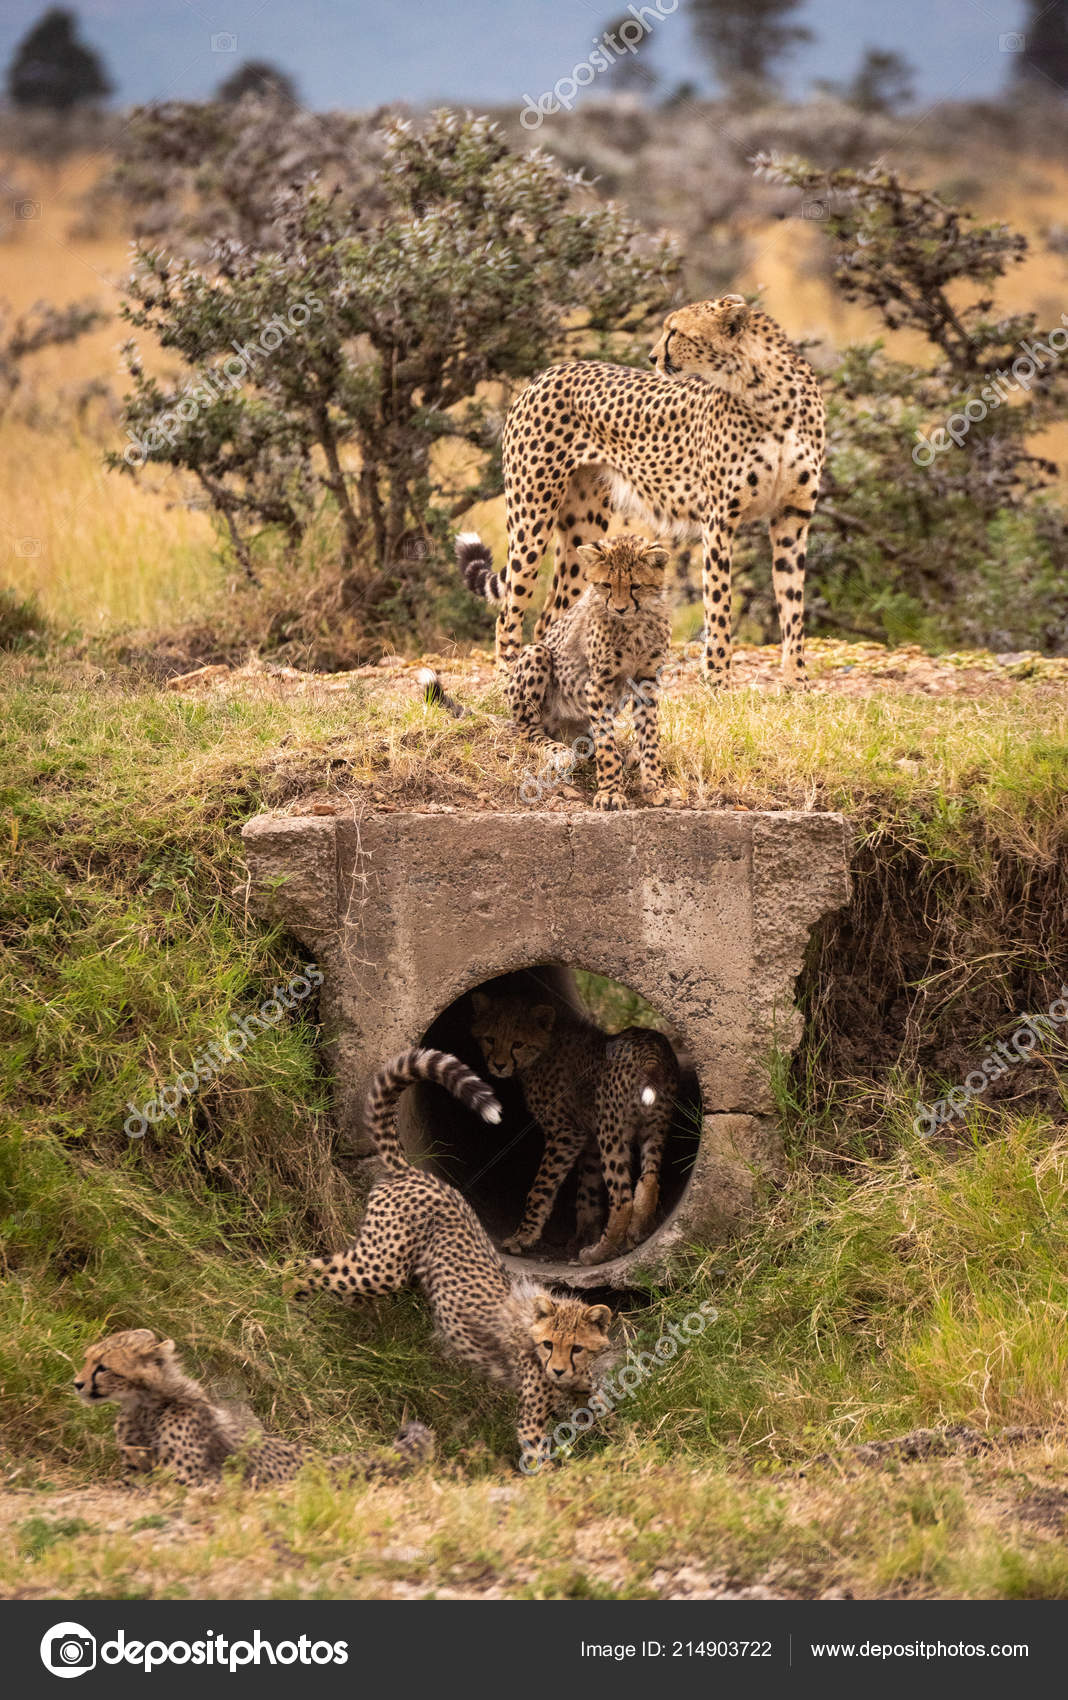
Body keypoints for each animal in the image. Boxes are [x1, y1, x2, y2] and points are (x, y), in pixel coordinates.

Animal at [74, 1328, 434, 1488]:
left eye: (103, 1367)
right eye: (87, 1358)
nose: (76, 1384)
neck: (144, 1405)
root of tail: (322, 1458)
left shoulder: (186, 1479)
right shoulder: (134, 1473)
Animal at [291, 1047, 614, 1467]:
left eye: (576, 1347)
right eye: (547, 1345)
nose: (557, 1371)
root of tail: (412, 1171)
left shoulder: (585, 1388)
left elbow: (606, 1407)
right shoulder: (532, 1421)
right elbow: (540, 1459)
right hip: (379, 1266)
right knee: (301, 1267)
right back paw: (278, 1302)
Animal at [469, 991, 680, 1267]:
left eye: (517, 1044)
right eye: (490, 1039)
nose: (499, 1065)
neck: (545, 1045)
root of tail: (651, 1043)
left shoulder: (566, 1133)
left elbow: (541, 1188)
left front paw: (523, 1237)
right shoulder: (589, 1140)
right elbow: (587, 1192)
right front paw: (583, 1235)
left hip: (611, 1131)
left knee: (622, 1199)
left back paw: (598, 1253)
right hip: (654, 1128)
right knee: (650, 1179)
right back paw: (636, 1232)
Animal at [492, 293, 825, 688]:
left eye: (675, 331)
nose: (652, 357)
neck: (769, 395)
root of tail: (548, 372)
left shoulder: (792, 516)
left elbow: (792, 604)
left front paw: (797, 680)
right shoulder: (719, 519)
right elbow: (719, 603)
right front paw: (718, 679)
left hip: (583, 528)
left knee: (551, 615)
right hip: (532, 516)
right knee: (508, 610)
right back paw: (509, 670)